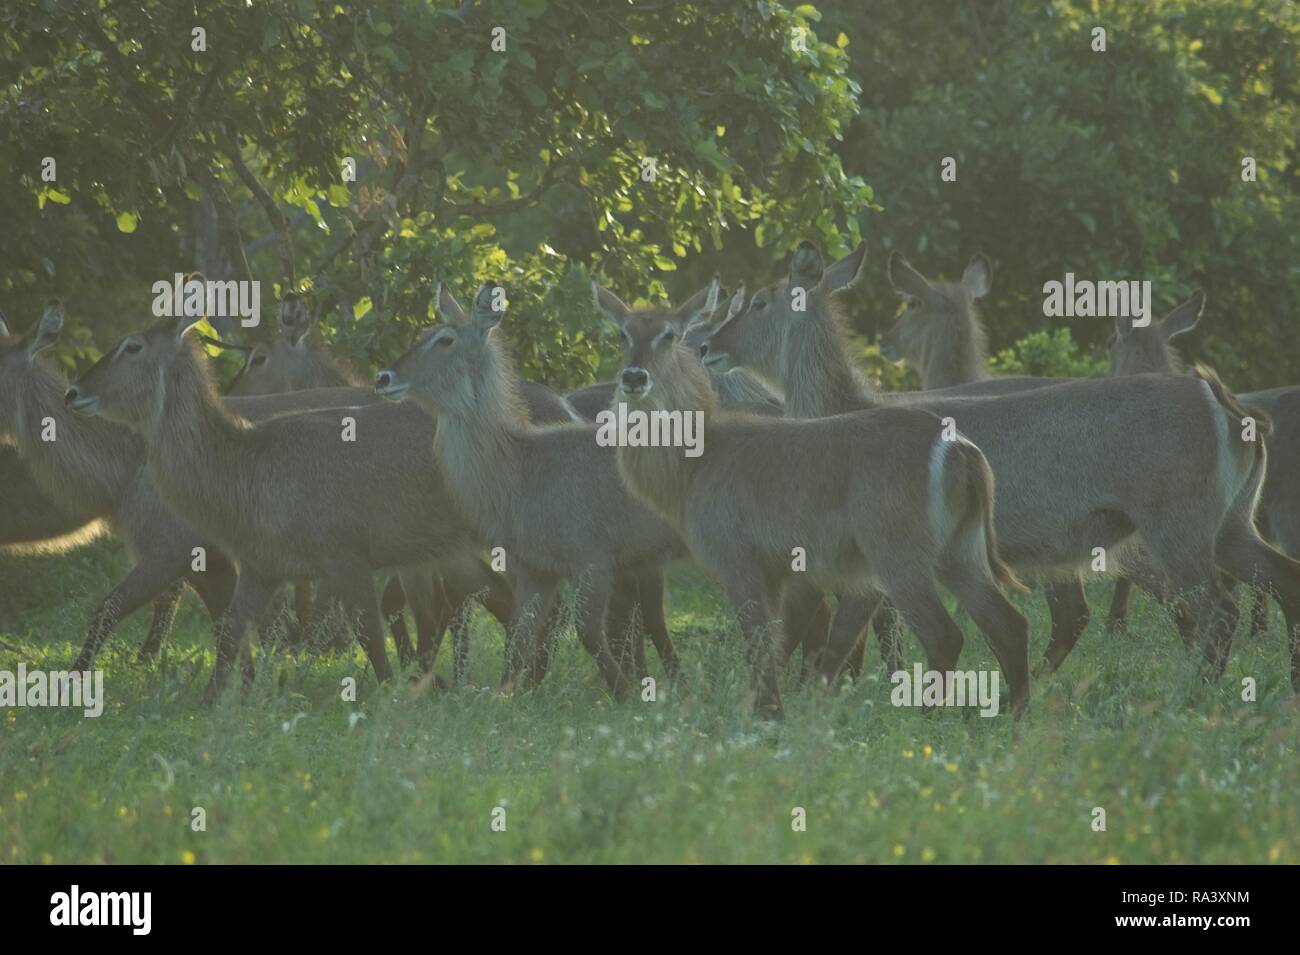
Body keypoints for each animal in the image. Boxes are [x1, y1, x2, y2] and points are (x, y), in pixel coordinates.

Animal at [375, 282, 688, 700]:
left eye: (444, 339)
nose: (383, 377)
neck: (520, 468)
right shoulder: (535, 569)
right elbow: (518, 639)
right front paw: (505, 697)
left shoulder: (593, 561)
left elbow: (588, 632)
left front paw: (625, 692)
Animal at [598, 276, 1028, 718]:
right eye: (622, 334)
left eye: (670, 335)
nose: (634, 377)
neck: (694, 461)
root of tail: (962, 448)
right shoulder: (778, 573)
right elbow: (775, 644)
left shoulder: (739, 563)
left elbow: (760, 645)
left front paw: (768, 715)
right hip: (961, 553)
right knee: (1010, 624)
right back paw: (1013, 714)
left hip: (899, 558)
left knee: (945, 635)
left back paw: (926, 719)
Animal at [704, 241, 1300, 688]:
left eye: (758, 303)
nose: (709, 344)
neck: (843, 406)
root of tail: (1226, 403)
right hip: (1230, 526)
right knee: (1279, 583)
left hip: (1175, 531)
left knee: (1217, 611)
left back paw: (1193, 697)